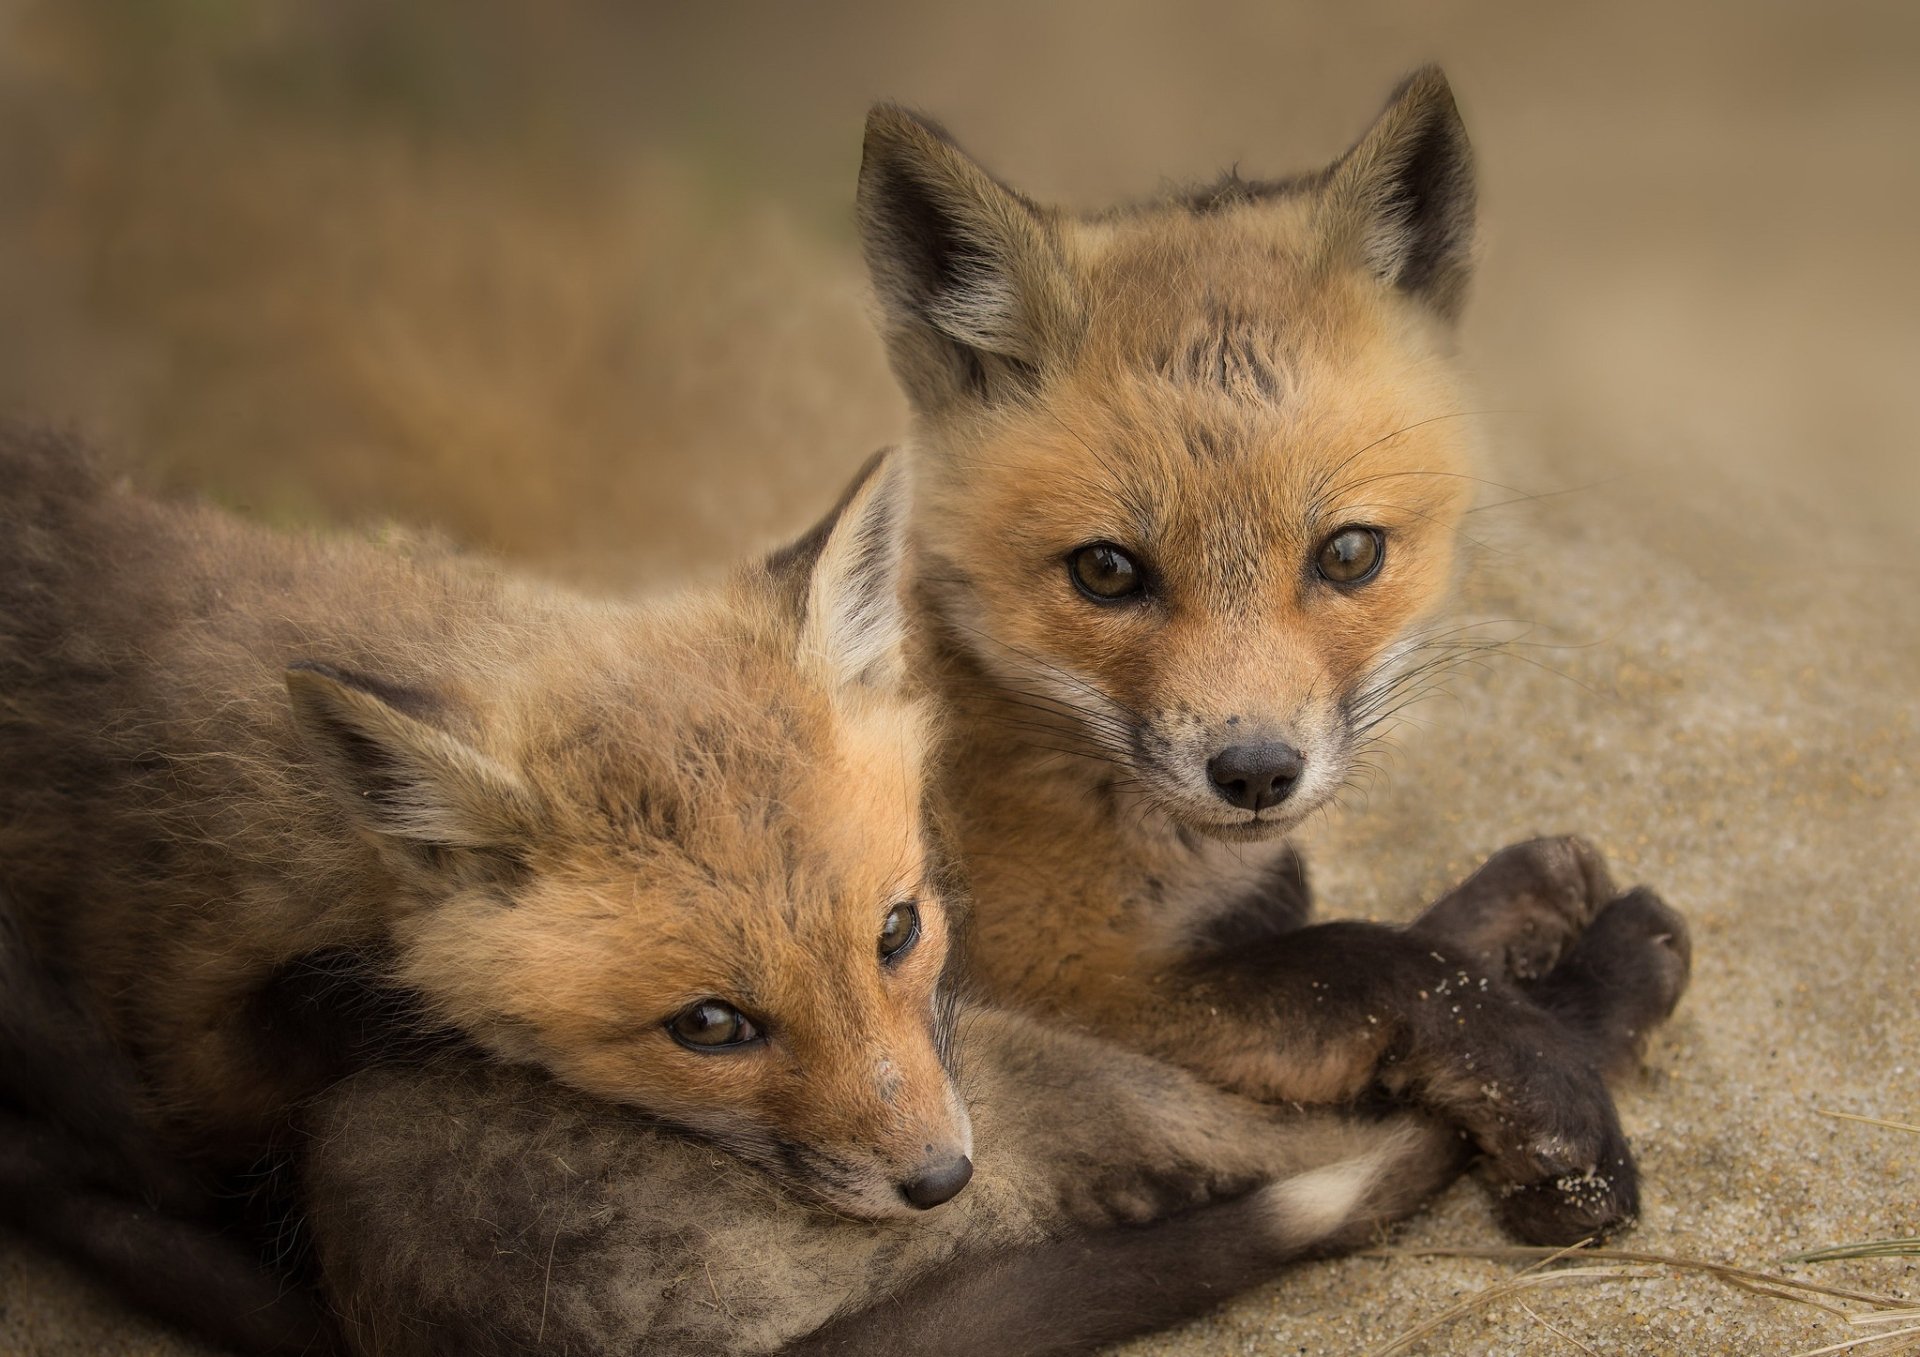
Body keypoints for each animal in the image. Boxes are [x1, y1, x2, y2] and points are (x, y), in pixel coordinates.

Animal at [854, 66, 1686, 1240]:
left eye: (1348, 552)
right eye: (1105, 570)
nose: (1254, 773)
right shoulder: (1056, 977)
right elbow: (1369, 958)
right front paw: (1546, 1082)